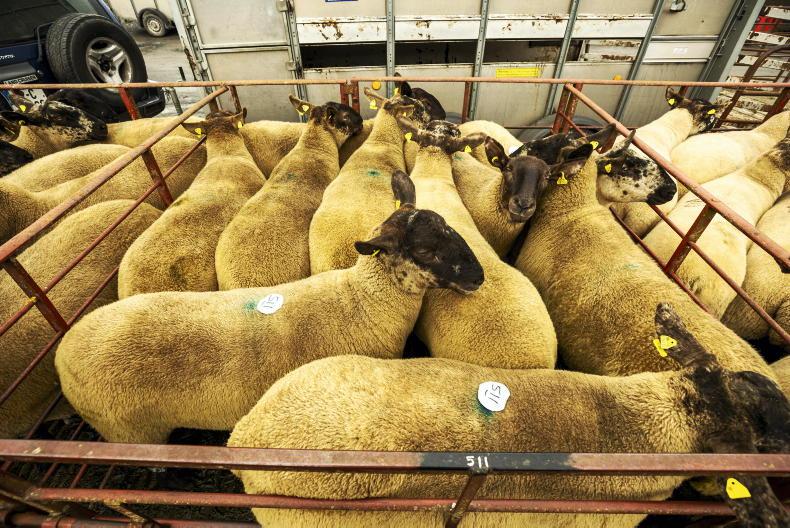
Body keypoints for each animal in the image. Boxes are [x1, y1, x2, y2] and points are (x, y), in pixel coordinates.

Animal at [55, 172, 485, 444]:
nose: (479, 276)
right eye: (426, 250)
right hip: (130, 430)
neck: (363, 300)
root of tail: (62, 353)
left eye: (448, 226)